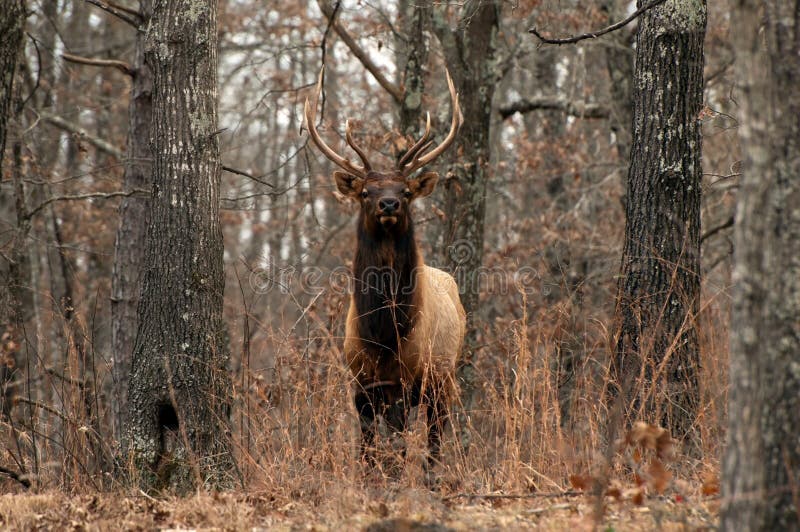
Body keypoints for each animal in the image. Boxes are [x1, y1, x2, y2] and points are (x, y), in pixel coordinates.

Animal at [304, 68, 466, 467]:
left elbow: (396, 449)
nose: (389, 203)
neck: (382, 334)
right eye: (365, 192)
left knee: (435, 441)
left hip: (444, 380)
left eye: (406, 192)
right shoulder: (361, 383)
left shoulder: (405, 382)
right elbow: (366, 452)